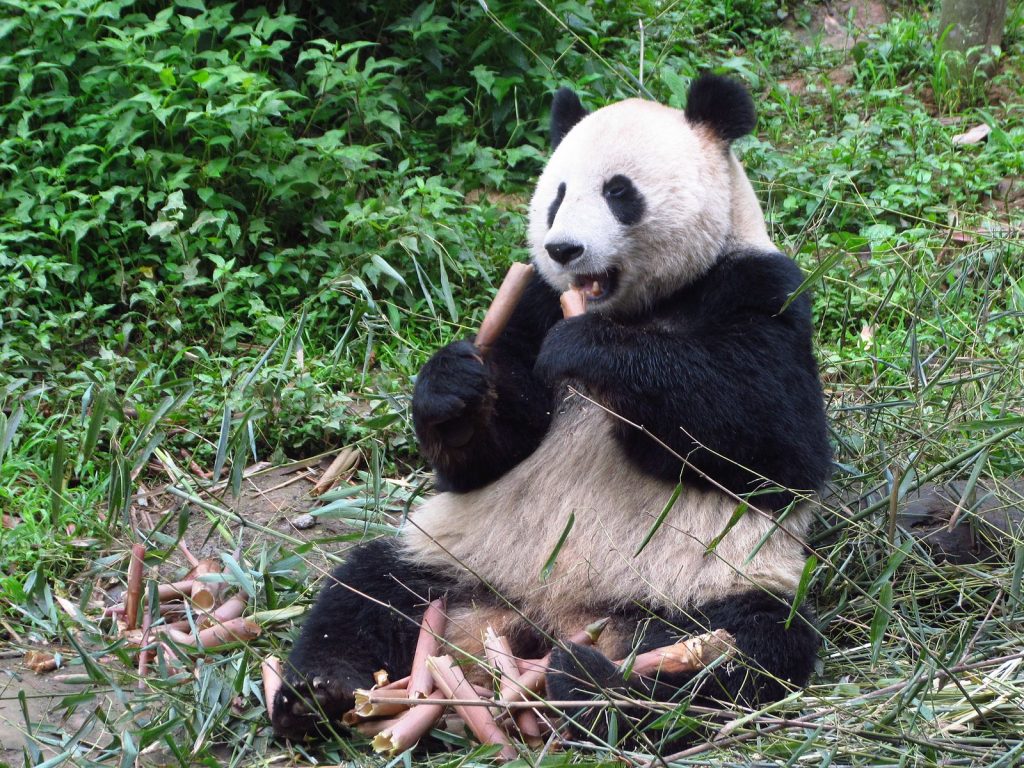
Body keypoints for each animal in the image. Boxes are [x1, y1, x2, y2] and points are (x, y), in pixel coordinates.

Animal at [271, 73, 831, 751]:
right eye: (557, 195)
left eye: (619, 192)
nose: (563, 249)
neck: (636, 306)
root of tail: (541, 621)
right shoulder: (532, 301)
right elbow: (490, 450)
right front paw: (455, 385)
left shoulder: (762, 289)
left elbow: (775, 442)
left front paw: (589, 350)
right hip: (460, 560)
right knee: (369, 589)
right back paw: (318, 693)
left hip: (701, 584)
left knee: (742, 652)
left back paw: (594, 689)